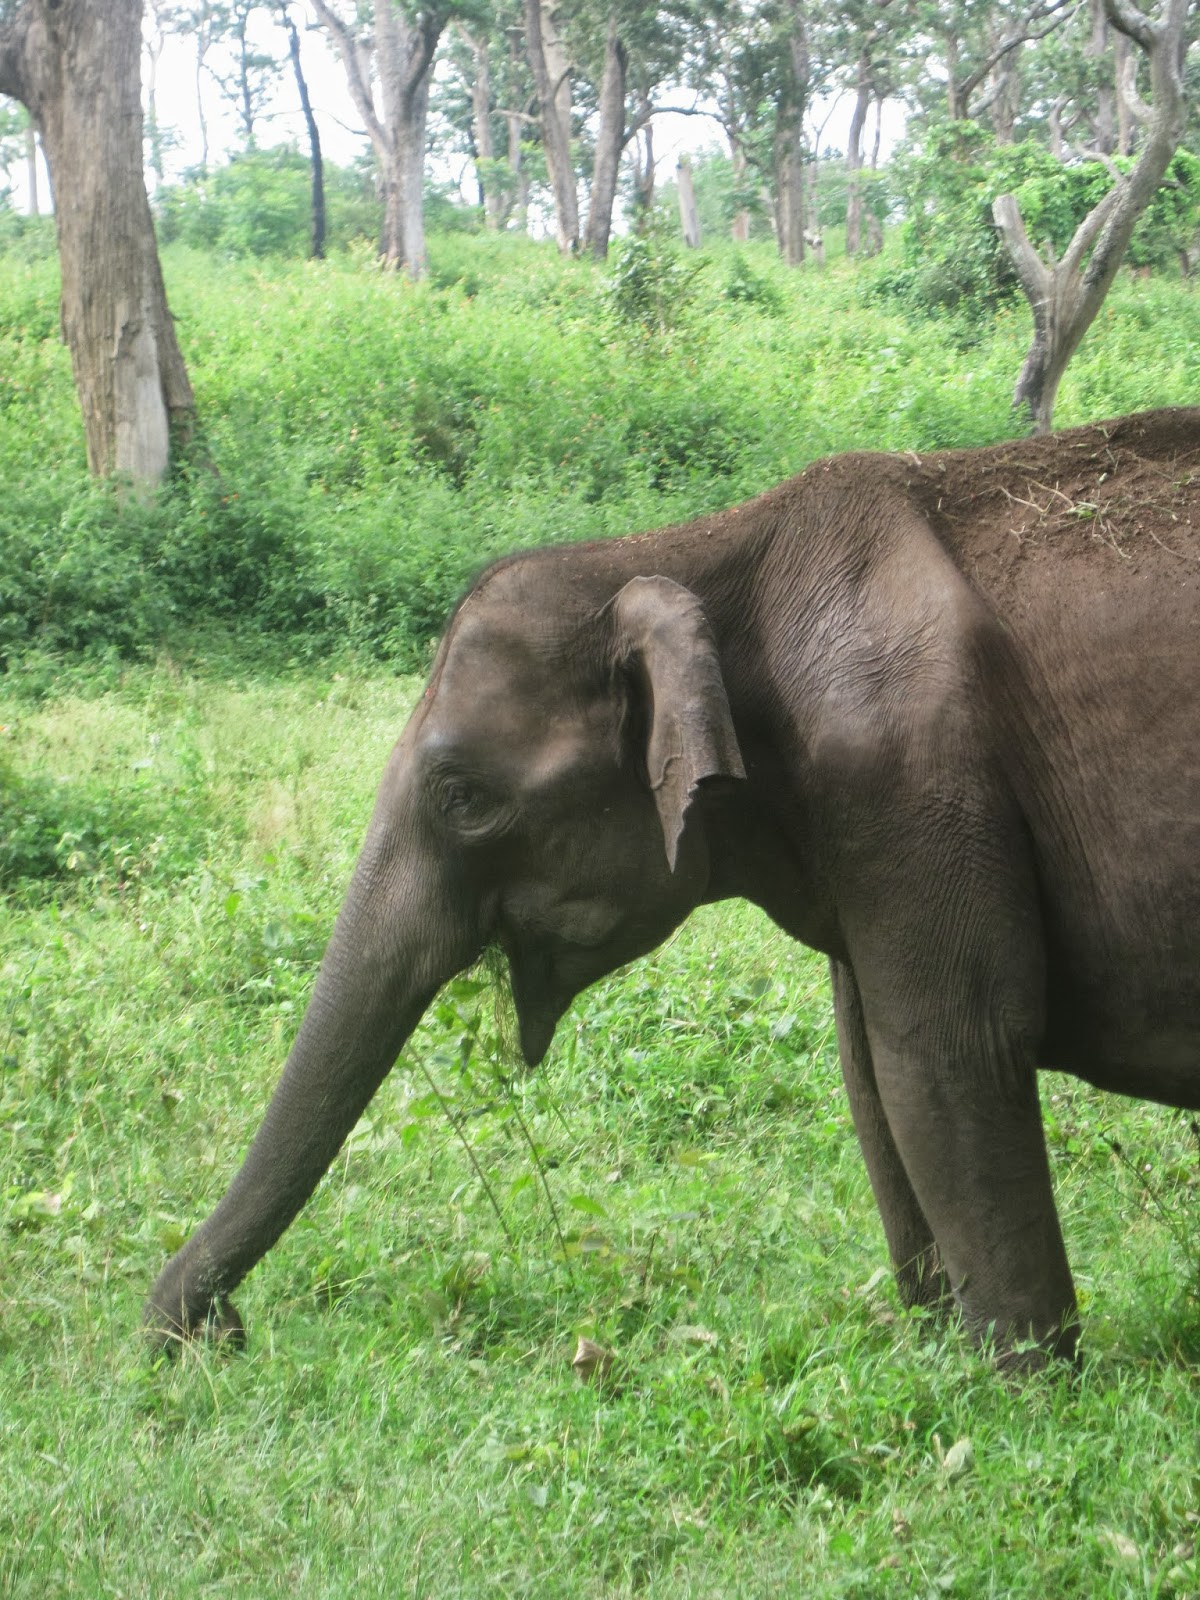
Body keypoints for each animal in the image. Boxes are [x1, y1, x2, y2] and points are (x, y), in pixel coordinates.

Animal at [146, 406, 1200, 1367]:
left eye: (461, 797)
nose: (214, 1332)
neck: (690, 548)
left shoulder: (910, 775)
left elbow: (955, 1043)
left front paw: (1020, 1381)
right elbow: (870, 1059)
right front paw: (938, 1350)